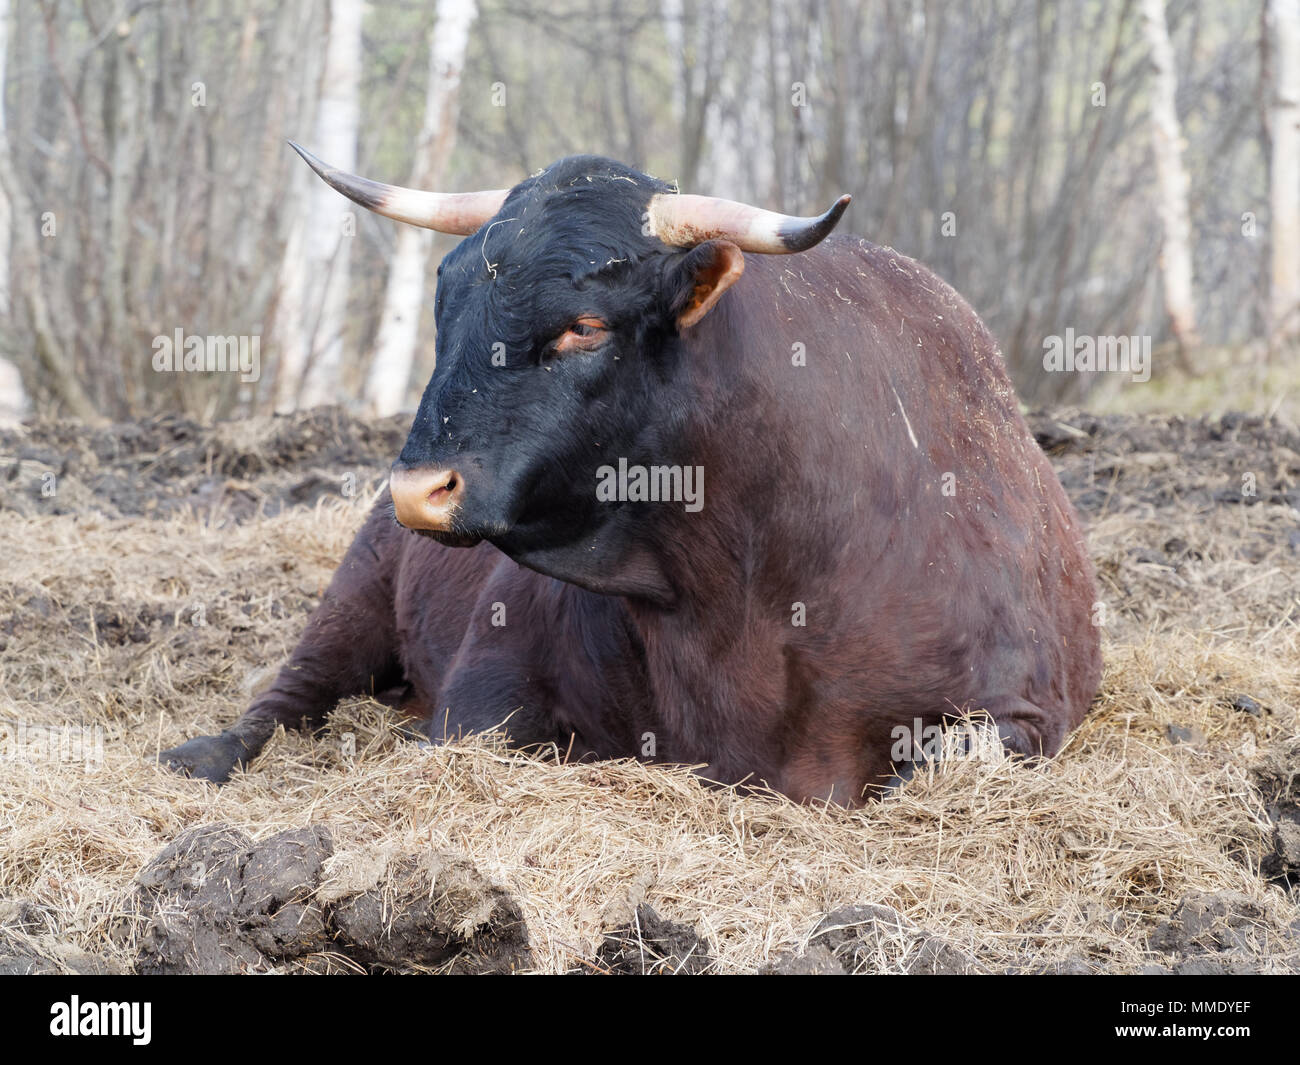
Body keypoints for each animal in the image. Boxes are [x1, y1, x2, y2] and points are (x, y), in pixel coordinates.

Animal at [159, 147, 1102, 805]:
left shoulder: (1017, 714)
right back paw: (203, 751)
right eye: (445, 301)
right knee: (286, 697)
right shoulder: (487, 674)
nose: (417, 491)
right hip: (353, 597)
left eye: (584, 325)